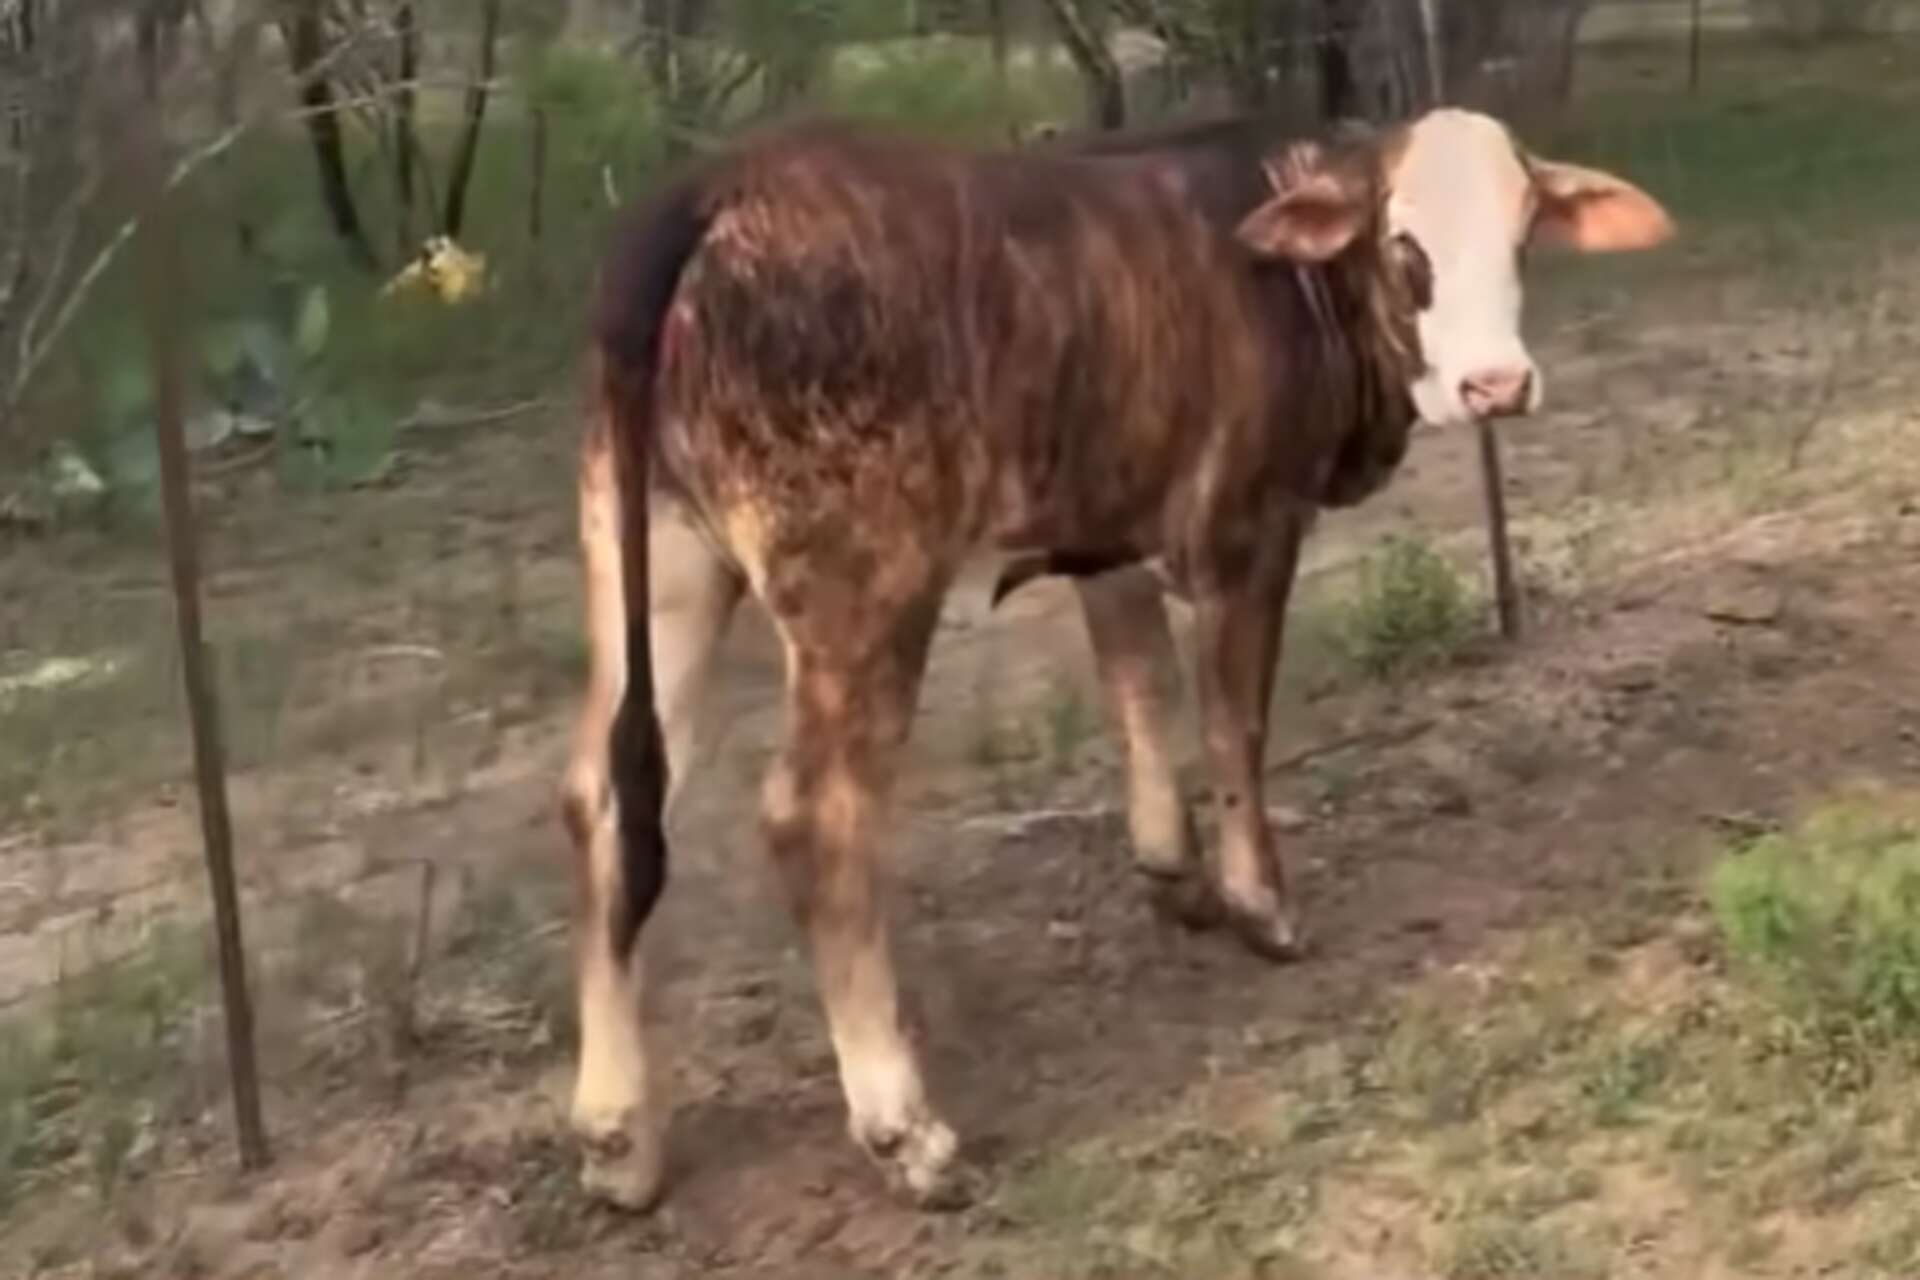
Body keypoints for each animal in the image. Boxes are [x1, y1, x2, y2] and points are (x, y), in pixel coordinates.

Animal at [558, 106, 1674, 1212]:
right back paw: (903, 1128)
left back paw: (618, 1134)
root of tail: (715, 188)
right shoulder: (1247, 533)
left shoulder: (1106, 535)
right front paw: (1261, 906)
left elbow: (1141, 688)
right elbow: (1232, 721)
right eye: (1405, 245)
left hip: (655, 560)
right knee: (814, 816)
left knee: (603, 799)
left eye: (1522, 232)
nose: (1498, 383)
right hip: (863, 591)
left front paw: (1174, 872)